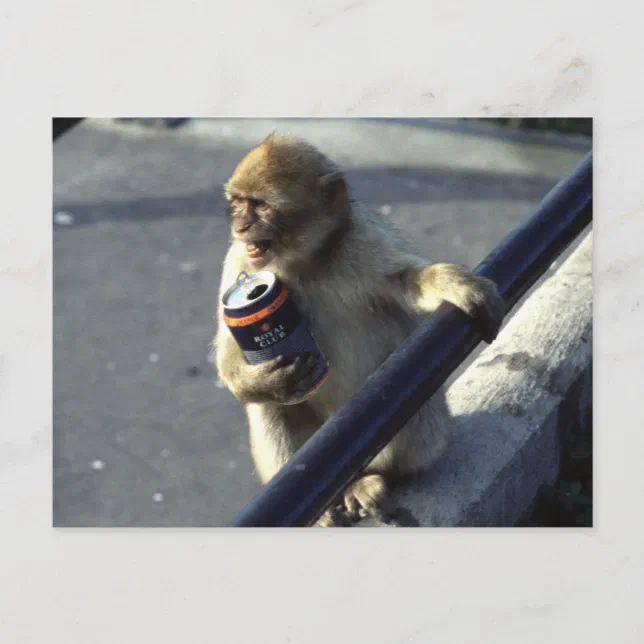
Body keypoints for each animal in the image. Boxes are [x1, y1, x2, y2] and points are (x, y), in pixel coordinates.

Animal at [214, 135, 504, 527]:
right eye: (238, 203)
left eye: (260, 206)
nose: (241, 226)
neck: (305, 263)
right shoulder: (237, 263)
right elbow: (231, 353)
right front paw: (263, 381)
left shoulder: (363, 240)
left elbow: (407, 280)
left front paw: (455, 284)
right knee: (268, 407)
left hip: (424, 438)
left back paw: (370, 479)